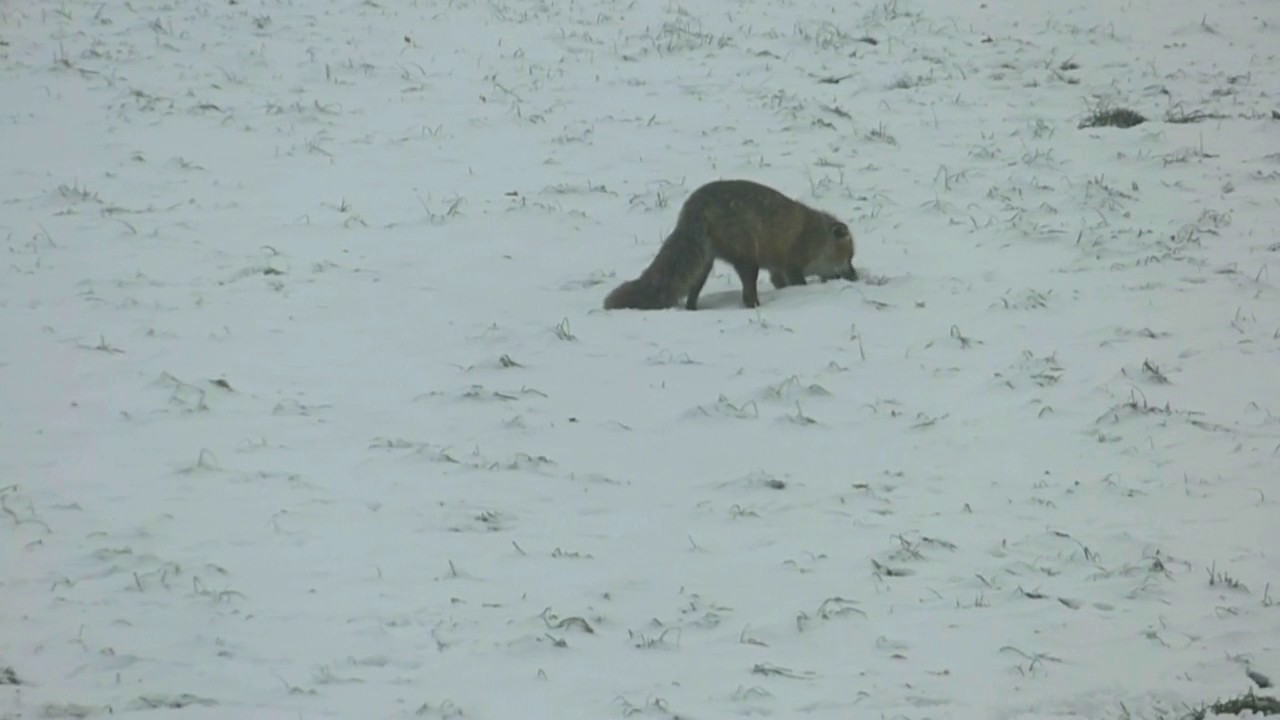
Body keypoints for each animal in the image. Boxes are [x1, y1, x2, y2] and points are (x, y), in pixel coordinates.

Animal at [602, 179, 858, 311]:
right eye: (849, 258)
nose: (855, 277)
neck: (817, 238)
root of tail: (696, 205)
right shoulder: (791, 264)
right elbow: (798, 283)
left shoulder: (777, 269)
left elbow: (781, 284)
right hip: (747, 260)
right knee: (747, 294)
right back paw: (755, 306)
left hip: (704, 265)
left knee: (692, 293)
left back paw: (692, 309)